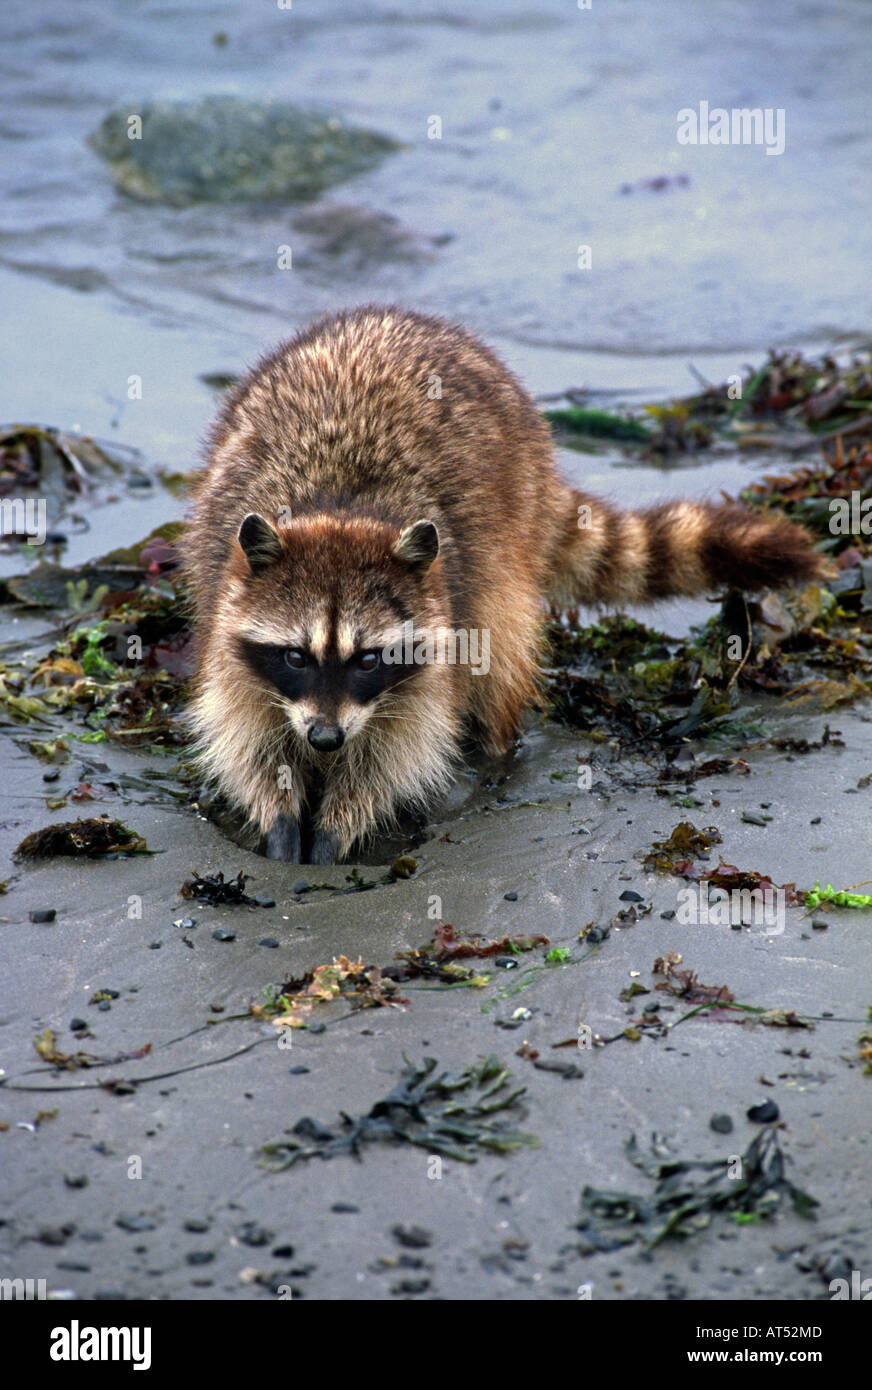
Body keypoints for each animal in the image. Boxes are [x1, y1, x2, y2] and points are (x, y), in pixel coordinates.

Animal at [185, 305, 821, 864]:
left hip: (508, 535)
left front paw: (343, 818)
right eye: (296, 655)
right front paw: (278, 811)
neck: (341, 508)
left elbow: (398, 752)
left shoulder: (435, 639)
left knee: (500, 650)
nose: (324, 740)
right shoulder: (229, 619)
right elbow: (244, 732)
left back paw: (492, 757)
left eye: (368, 660)